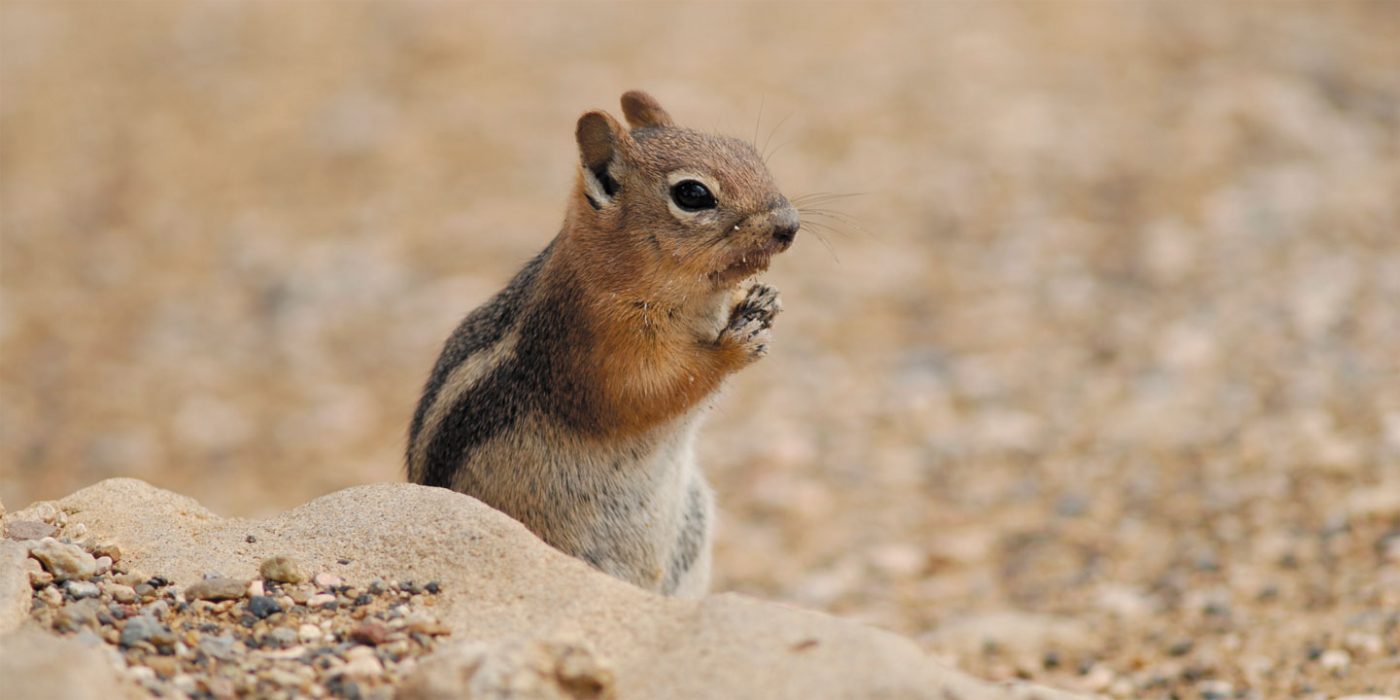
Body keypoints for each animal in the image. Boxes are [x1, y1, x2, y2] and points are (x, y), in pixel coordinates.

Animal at [405, 91, 799, 597]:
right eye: (692, 194)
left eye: (746, 150)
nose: (789, 224)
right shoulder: (597, 345)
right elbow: (650, 392)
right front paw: (737, 344)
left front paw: (763, 298)